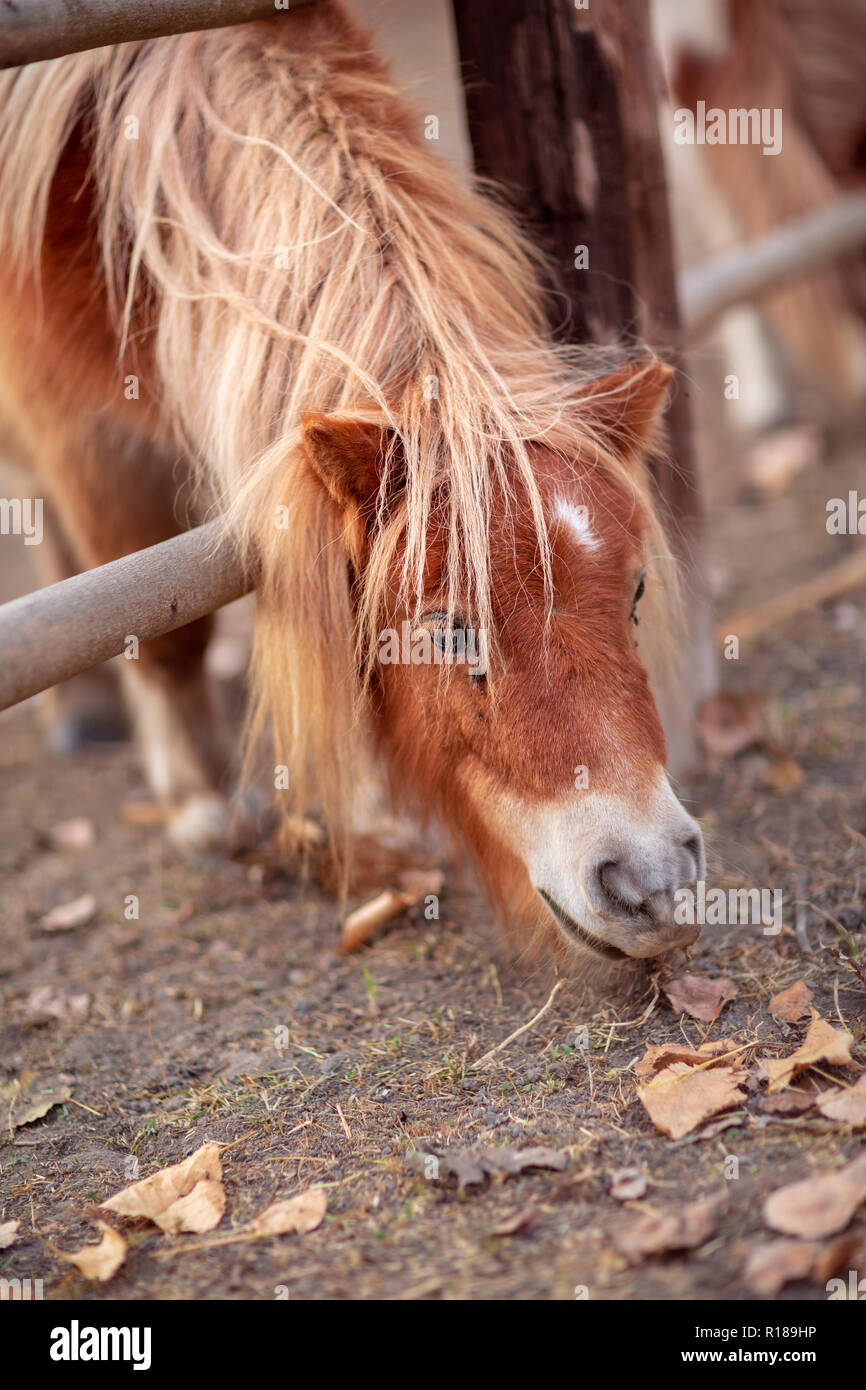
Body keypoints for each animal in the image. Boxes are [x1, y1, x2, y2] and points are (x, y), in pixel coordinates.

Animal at [0, 1, 704, 970]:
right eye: (446, 632)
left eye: (634, 594)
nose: (651, 882)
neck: (108, 196)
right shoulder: (89, 444)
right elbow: (154, 624)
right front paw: (203, 805)